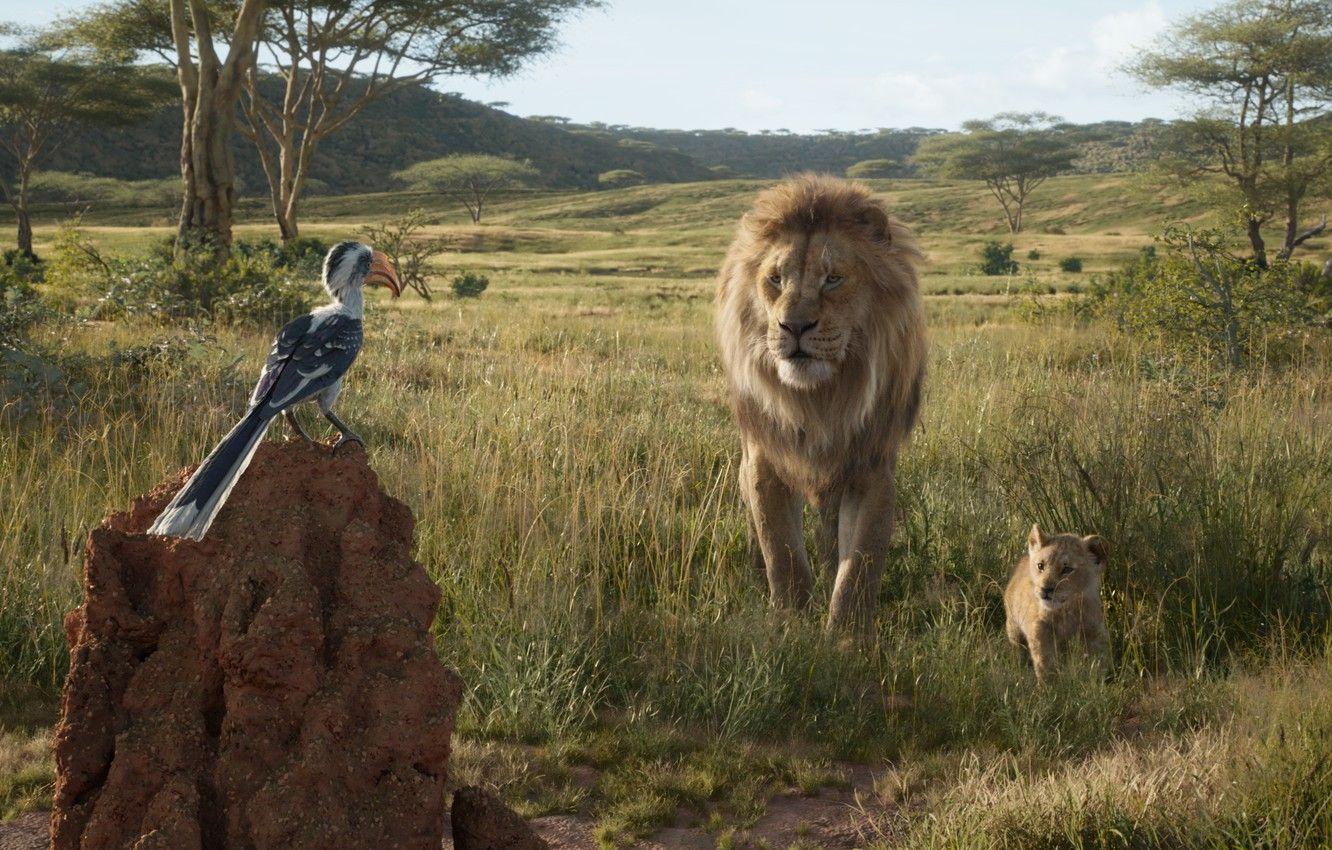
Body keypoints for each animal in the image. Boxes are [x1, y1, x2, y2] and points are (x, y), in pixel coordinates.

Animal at [714, 174, 926, 632]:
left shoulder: (872, 468)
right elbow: (782, 553)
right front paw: (791, 625)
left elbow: (860, 565)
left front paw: (847, 637)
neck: (821, 400)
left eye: (832, 278)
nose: (793, 326)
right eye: (775, 279)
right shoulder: (764, 460)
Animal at [1004, 524, 1110, 681]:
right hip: (1013, 626)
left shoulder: (1094, 629)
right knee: (1017, 650)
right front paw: (1048, 685)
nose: (1045, 589)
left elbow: (1099, 660)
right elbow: (1044, 662)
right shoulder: (1040, 629)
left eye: (1067, 569)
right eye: (1040, 566)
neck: (1066, 610)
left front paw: (1098, 682)